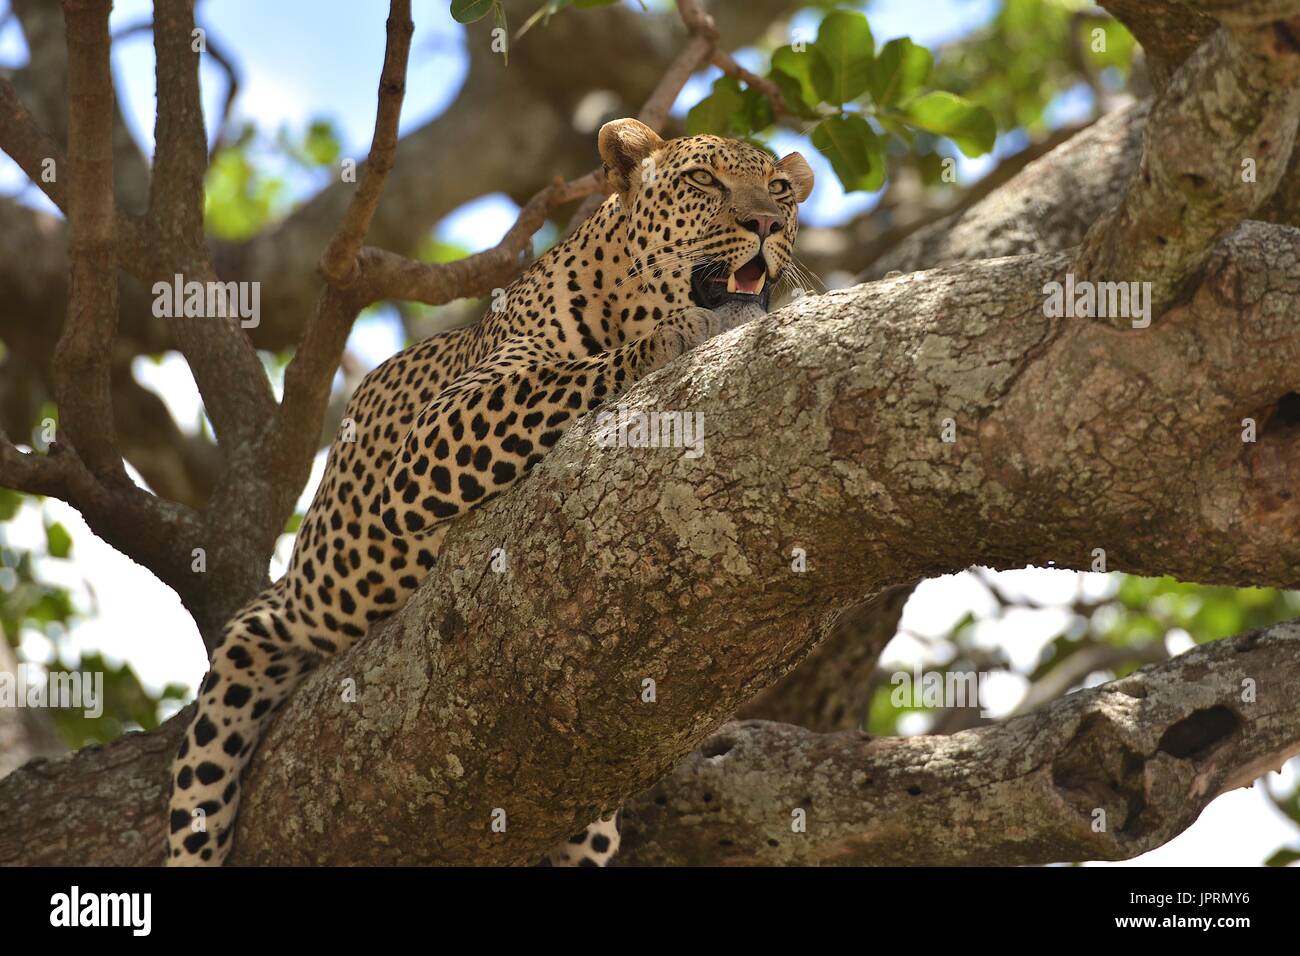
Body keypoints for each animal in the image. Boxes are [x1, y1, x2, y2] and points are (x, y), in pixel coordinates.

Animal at [165, 117, 814, 866]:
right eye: (704, 180)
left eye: (780, 190)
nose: (767, 222)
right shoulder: (437, 434)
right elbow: (579, 373)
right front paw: (681, 333)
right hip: (261, 639)